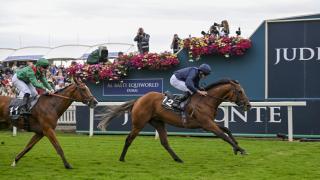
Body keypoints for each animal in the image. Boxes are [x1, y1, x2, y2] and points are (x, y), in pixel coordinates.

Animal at [99, 79, 251, 162]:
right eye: (240, 91)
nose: (248, 105)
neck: (206, 100)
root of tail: (139, 99)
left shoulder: (207, 124)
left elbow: (226, 130)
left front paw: (236, 147)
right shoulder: (207, 124)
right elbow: (223, 136)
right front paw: (241, 149)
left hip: (158, 122)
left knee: (164, 142)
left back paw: (178, 159)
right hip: (139, 123)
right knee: (129, 139)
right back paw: (121, 158)